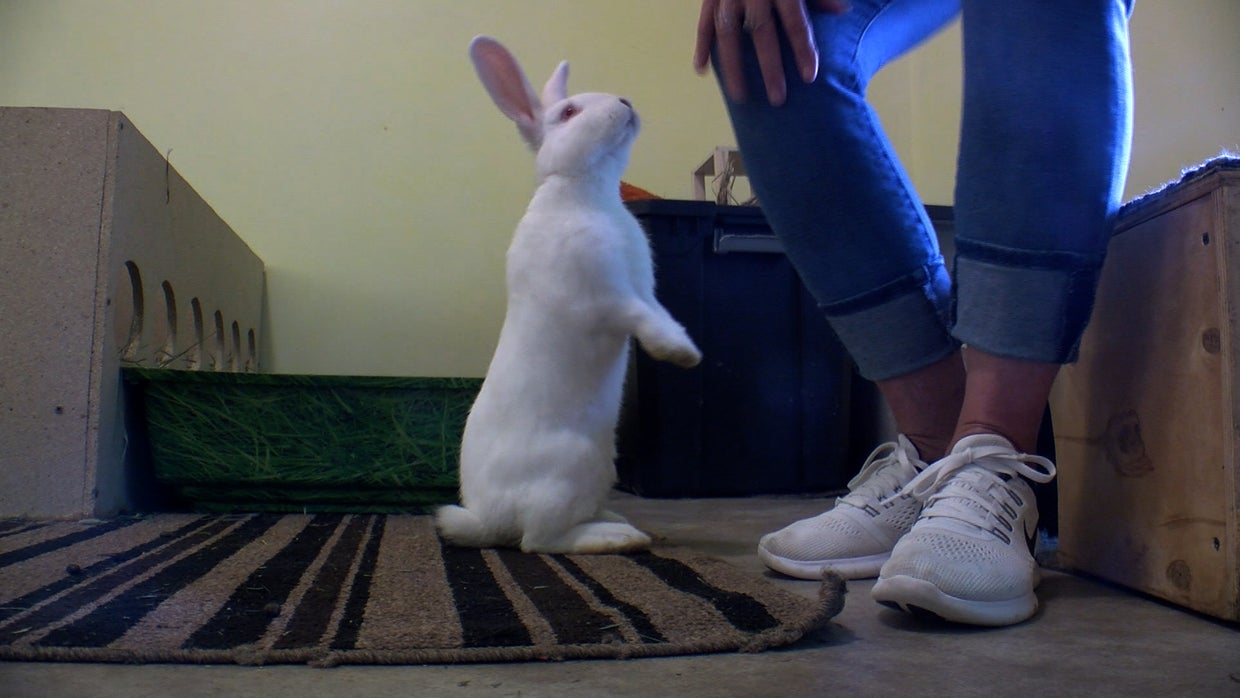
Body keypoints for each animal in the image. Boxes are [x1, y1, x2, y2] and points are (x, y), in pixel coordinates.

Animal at [435, 36, 701, 554]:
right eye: (569, 112)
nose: (625, 102)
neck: (586, 190)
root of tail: (488, 519)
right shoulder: (601, 297)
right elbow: (639, 318)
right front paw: (680, 355)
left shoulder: (643, 289)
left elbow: (660, 313)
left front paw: (684, 345)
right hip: (567, 471)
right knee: (538, 541)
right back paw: (619, 538)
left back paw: (621, 521)